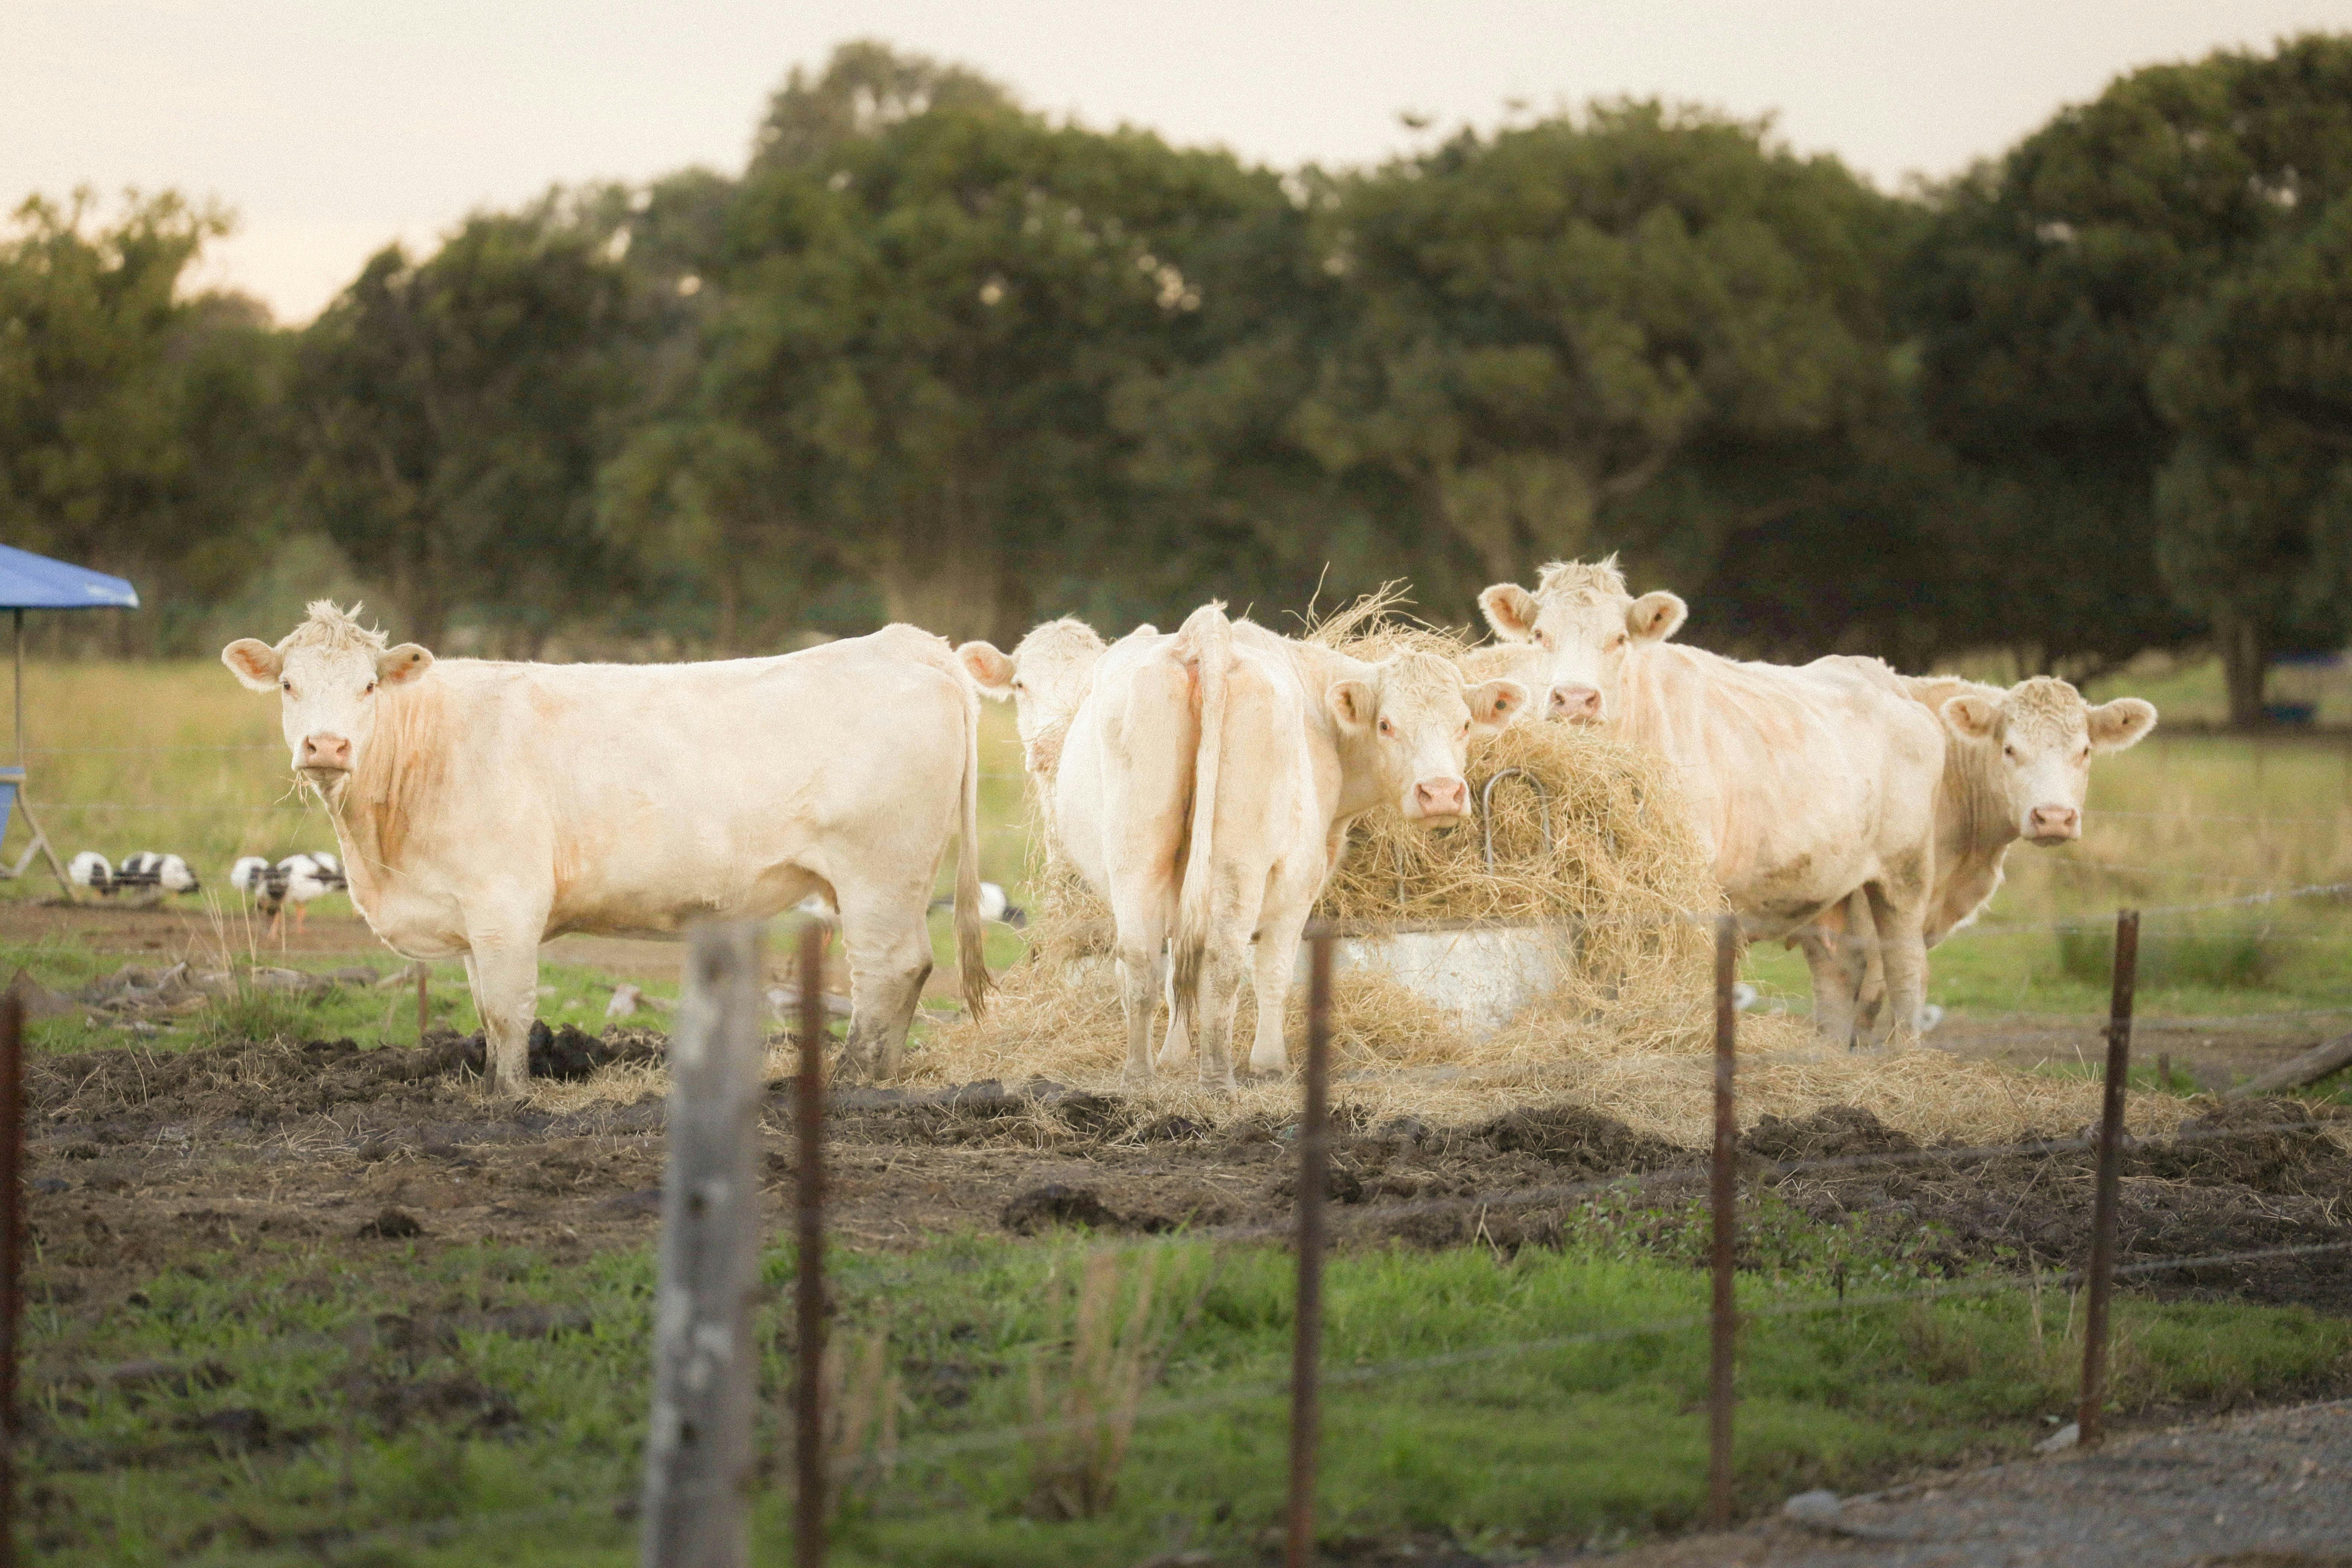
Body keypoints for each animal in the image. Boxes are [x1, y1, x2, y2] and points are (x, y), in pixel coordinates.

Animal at [222, 601, 990, 1093]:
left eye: (369, 685)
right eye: (288, 683)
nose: (326, 746)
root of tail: (904, 641)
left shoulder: (505, 905)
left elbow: (509, 1011)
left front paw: (511, 1099)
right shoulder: (471, 917)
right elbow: (485, 1010)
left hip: (879, 873)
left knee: (889, 969)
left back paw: (854, 1078)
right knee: (905, 973)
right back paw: (882, 1075)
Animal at [1171, 606, 1526, 1089]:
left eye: (1466, 724)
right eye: (1386, 724)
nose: (1440, 793)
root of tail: (1211, 639)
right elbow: (1273, 967)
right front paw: (1268, 1061)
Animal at [1476, 558, 1948, 1045]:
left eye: (1620, 638)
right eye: (1539, 635)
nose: (1573, 699)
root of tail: (1881, 675)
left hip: (1906, 873)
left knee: (1906, 968)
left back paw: (1906, 1051)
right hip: (1829, 879)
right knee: (1839, 969)